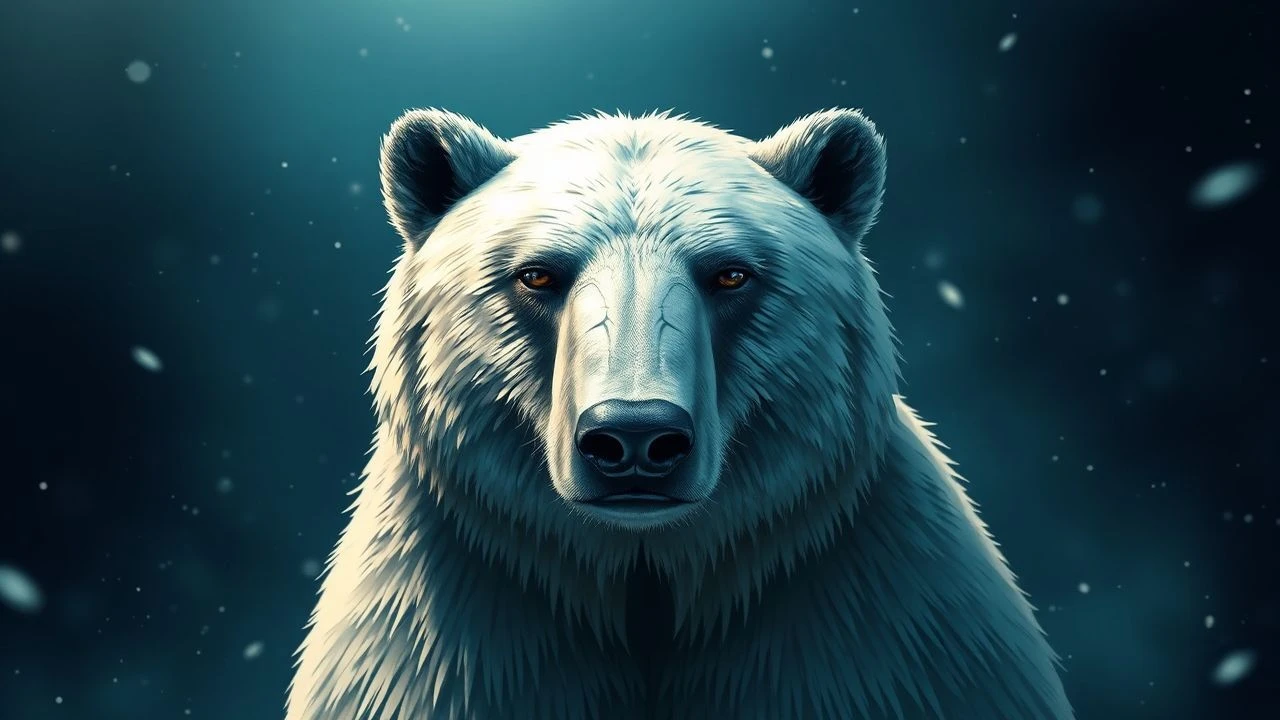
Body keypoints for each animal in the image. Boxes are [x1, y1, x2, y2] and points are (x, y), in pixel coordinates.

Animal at [285, 107, 1075, 720]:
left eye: (731, 273)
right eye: (536, 274)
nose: (634, 438)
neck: (648, 575)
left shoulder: (876, 631)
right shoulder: (455, 638)